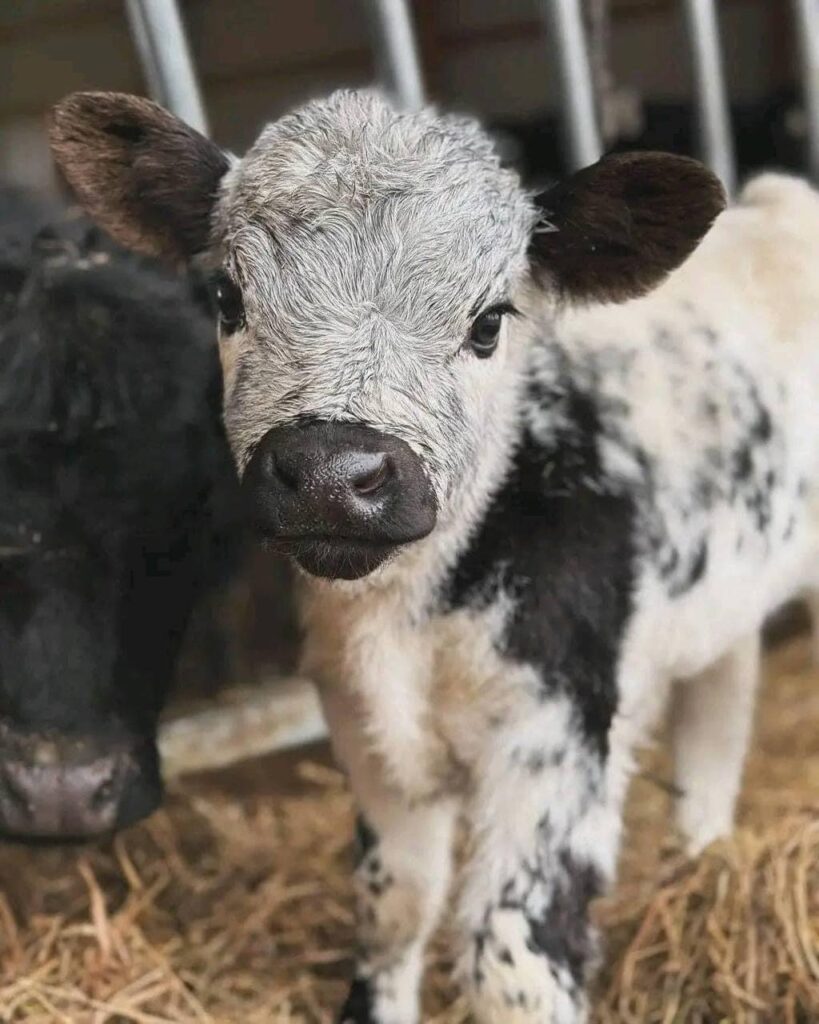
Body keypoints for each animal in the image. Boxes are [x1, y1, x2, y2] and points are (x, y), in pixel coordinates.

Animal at [50, 88, 819, 1024]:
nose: (332, 475)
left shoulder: (555, 729)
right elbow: (395, 907)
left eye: (488, 322)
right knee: (721, 707)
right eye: (228, 299)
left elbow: (509, 955)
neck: (407, 619)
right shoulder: (363, 728)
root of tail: (778, 200)